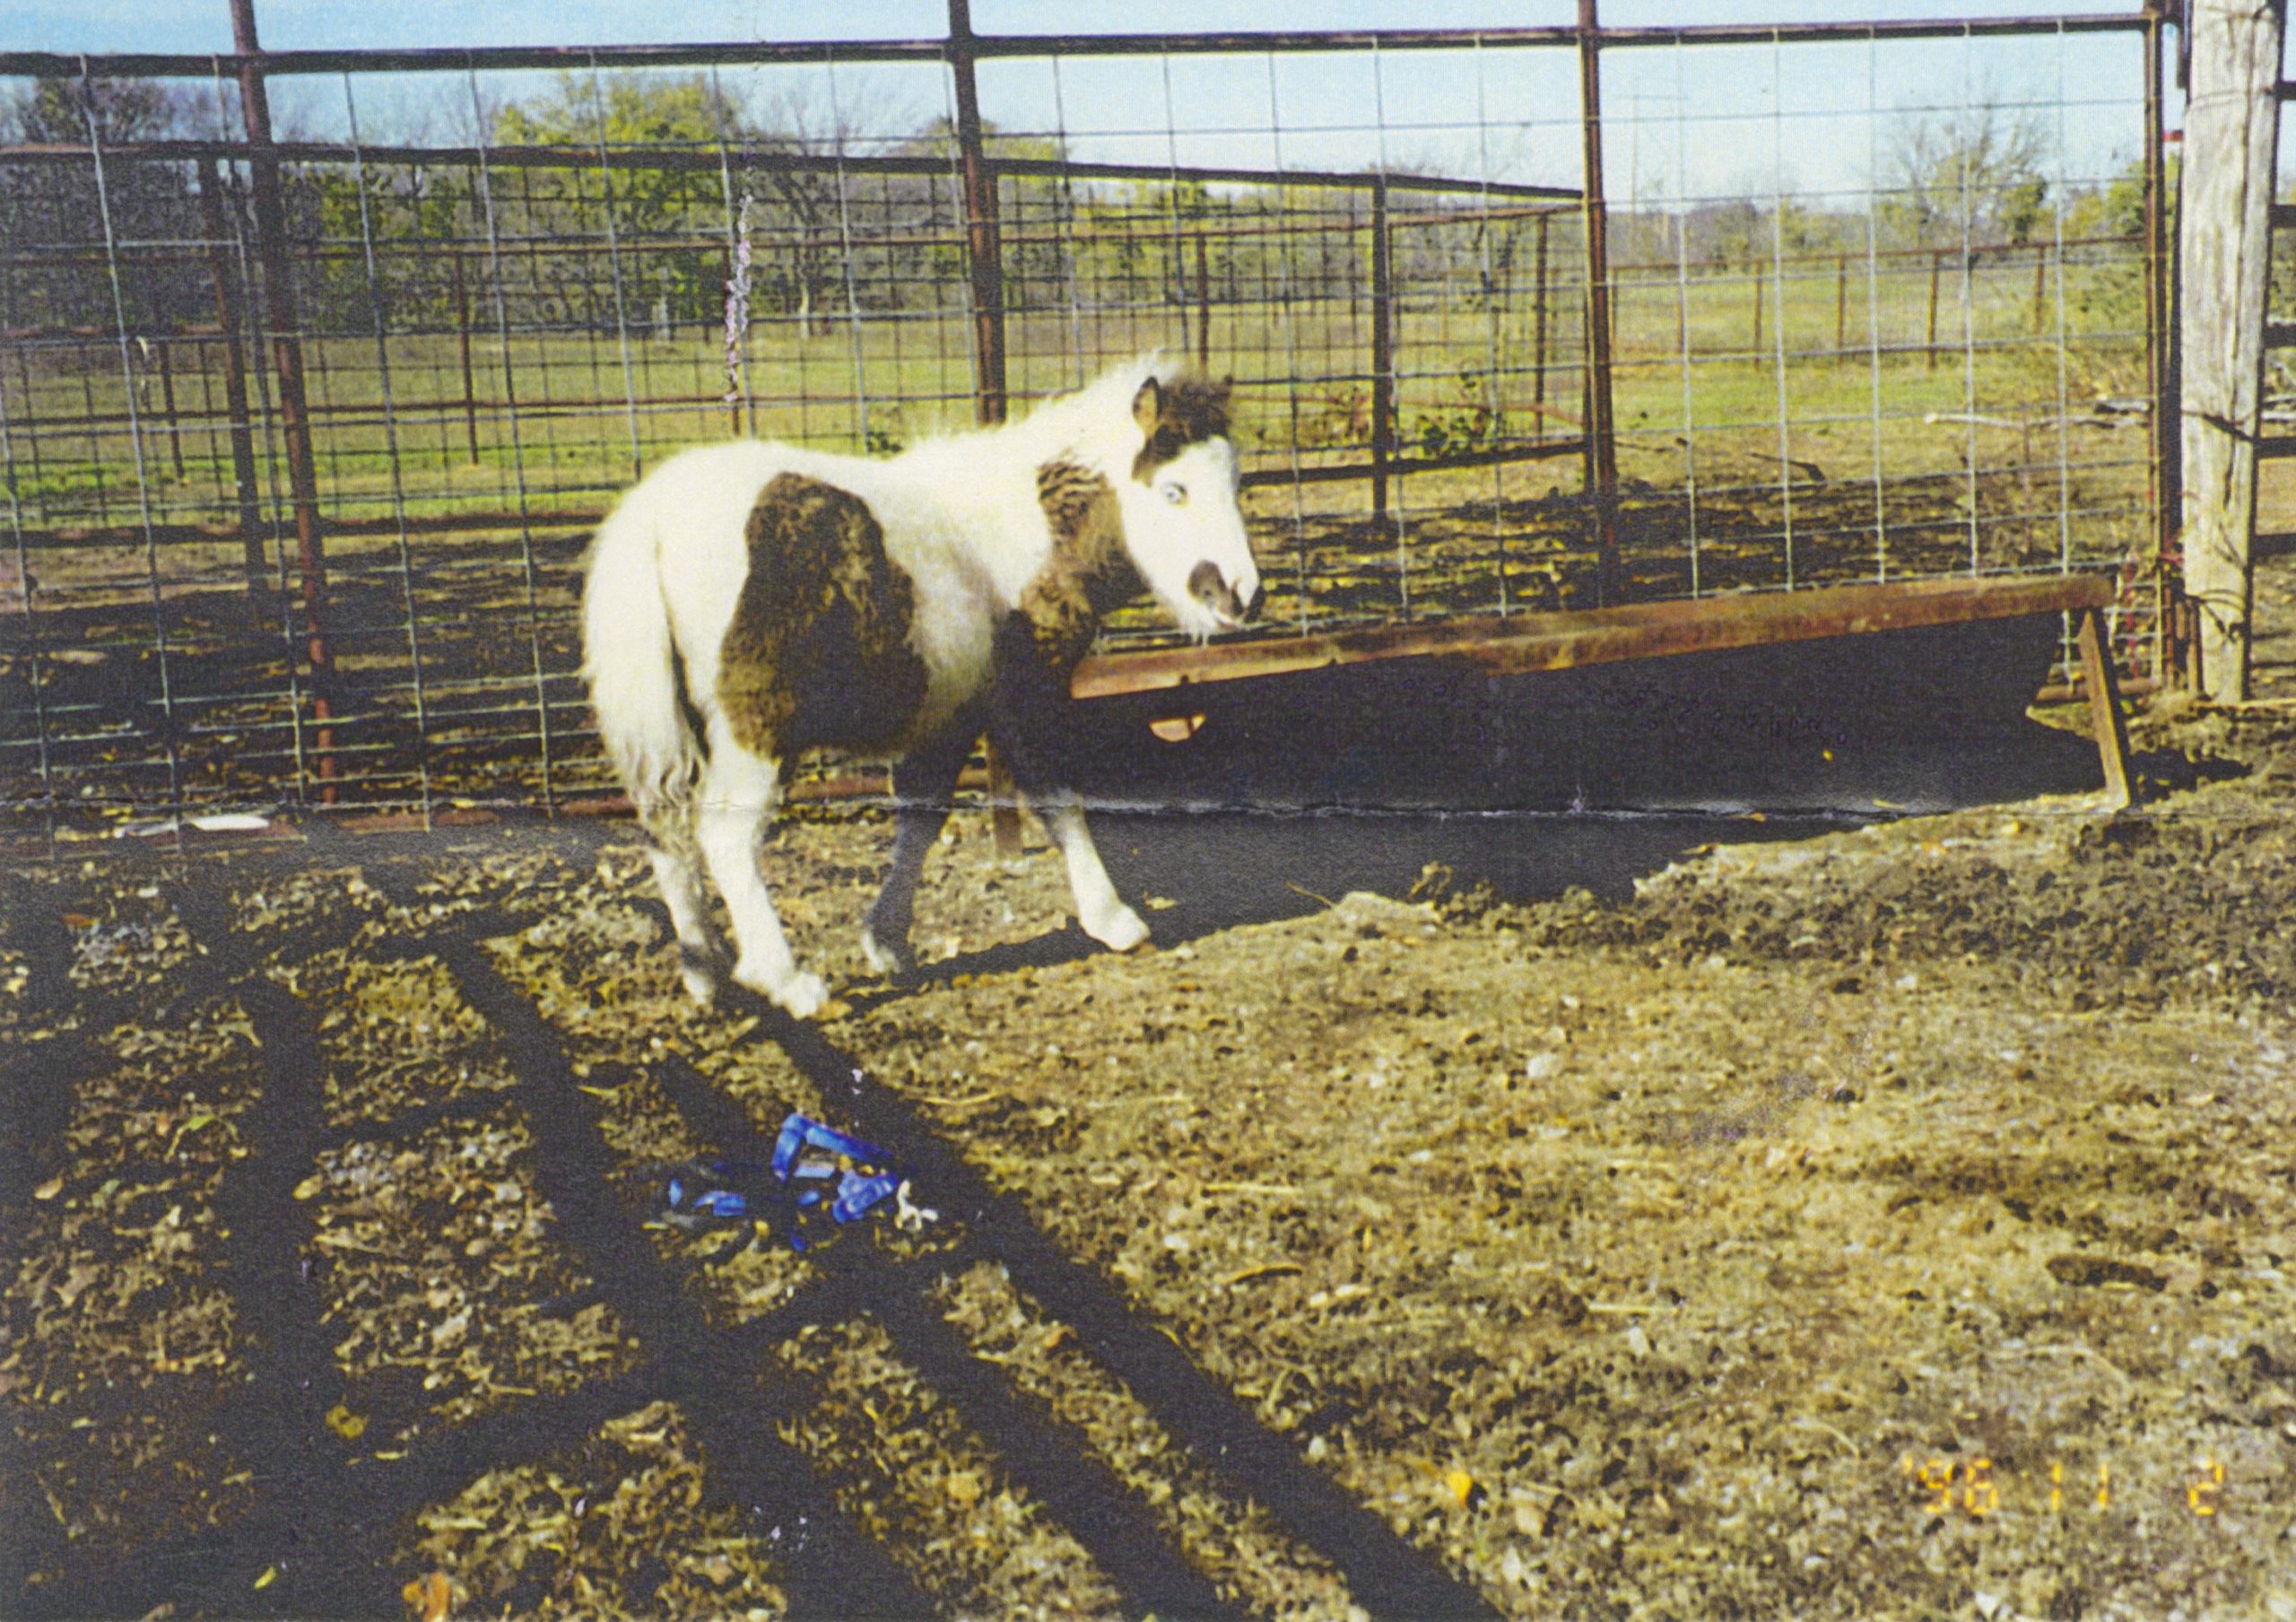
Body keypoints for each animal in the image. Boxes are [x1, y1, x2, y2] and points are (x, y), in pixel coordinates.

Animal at [581, 355, 1262, 1018]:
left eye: (1232, 485)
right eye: (1173, 491)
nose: (1239, 596)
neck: (1015, 530)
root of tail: (652, 521)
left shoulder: (952, 714)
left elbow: (922, 815)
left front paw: (886, 941)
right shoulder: (1022, 694)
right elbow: (1057, 799)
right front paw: (1114, 920)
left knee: (665, 833)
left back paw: (705, 975)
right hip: (757, 729)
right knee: (725, 837)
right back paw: (787, 982)